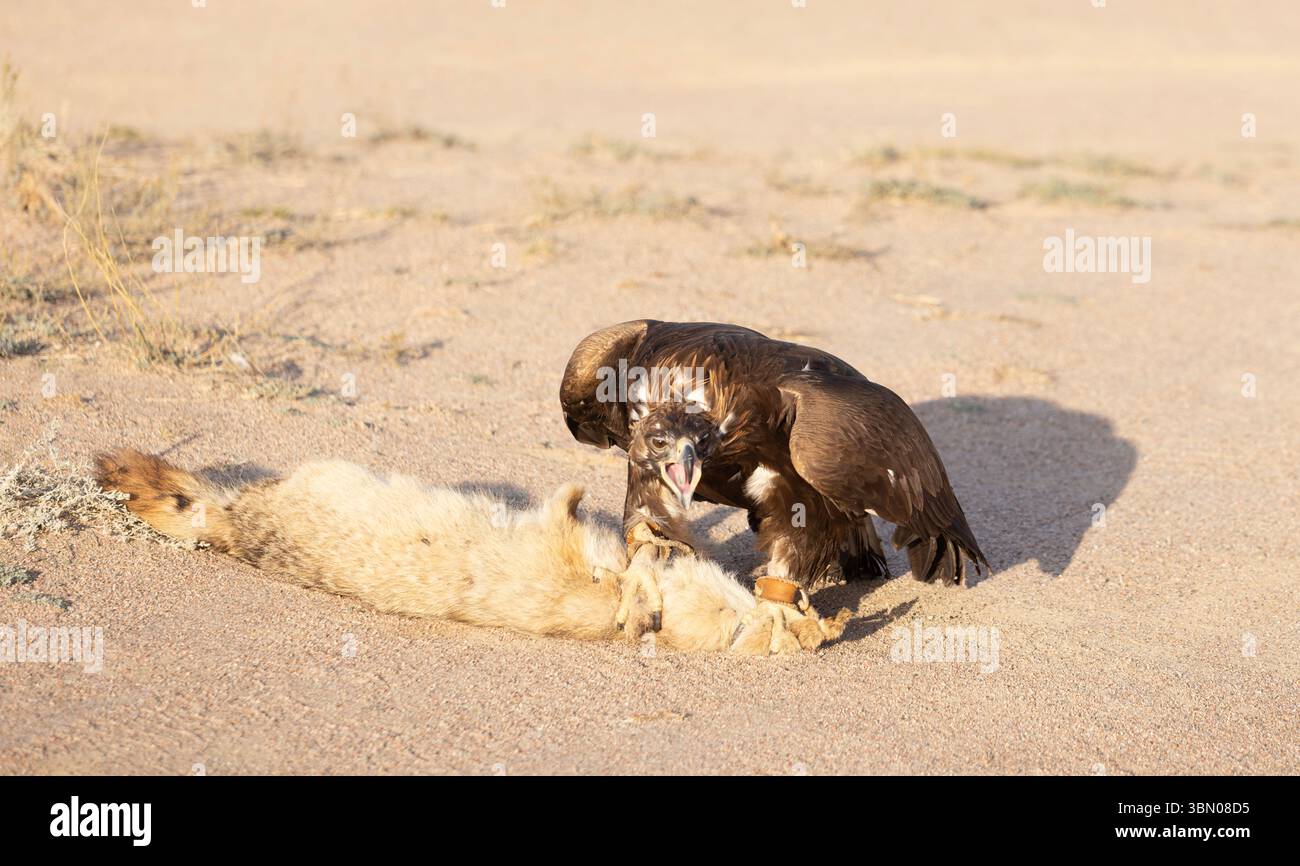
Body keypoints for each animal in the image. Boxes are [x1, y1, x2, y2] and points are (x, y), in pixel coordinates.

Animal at [93, 449, 851, 655]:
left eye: (747, 631)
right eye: (792, 618)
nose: (814, 619)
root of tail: (235, 528)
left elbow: (574, 520)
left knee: (196, 496)